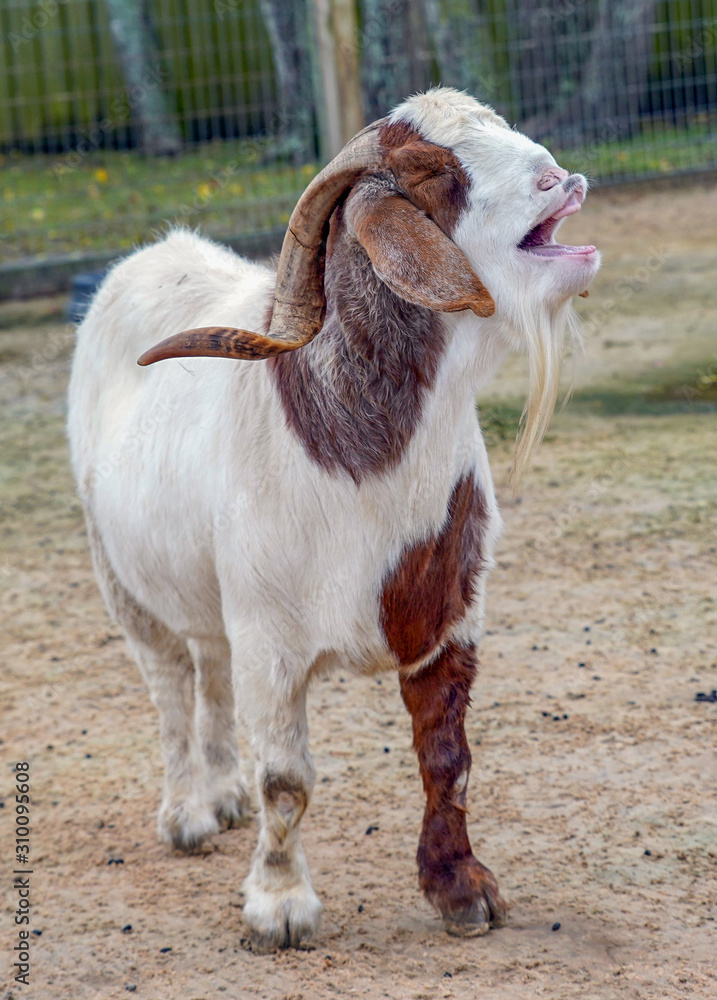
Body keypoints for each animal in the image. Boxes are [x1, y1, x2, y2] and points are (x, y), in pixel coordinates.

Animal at [67, 87, 600, 949]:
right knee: (171, 686)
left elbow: (446, 758)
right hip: (118, 575)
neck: (364, 463)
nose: (559, 178)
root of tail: (148, 258)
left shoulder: (451, 617)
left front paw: (461, 891)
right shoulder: (271, 641)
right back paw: (187, 815)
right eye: (433, 174)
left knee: (208, 670)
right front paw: (278, 908)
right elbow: (286, 779)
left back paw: (223, 797)